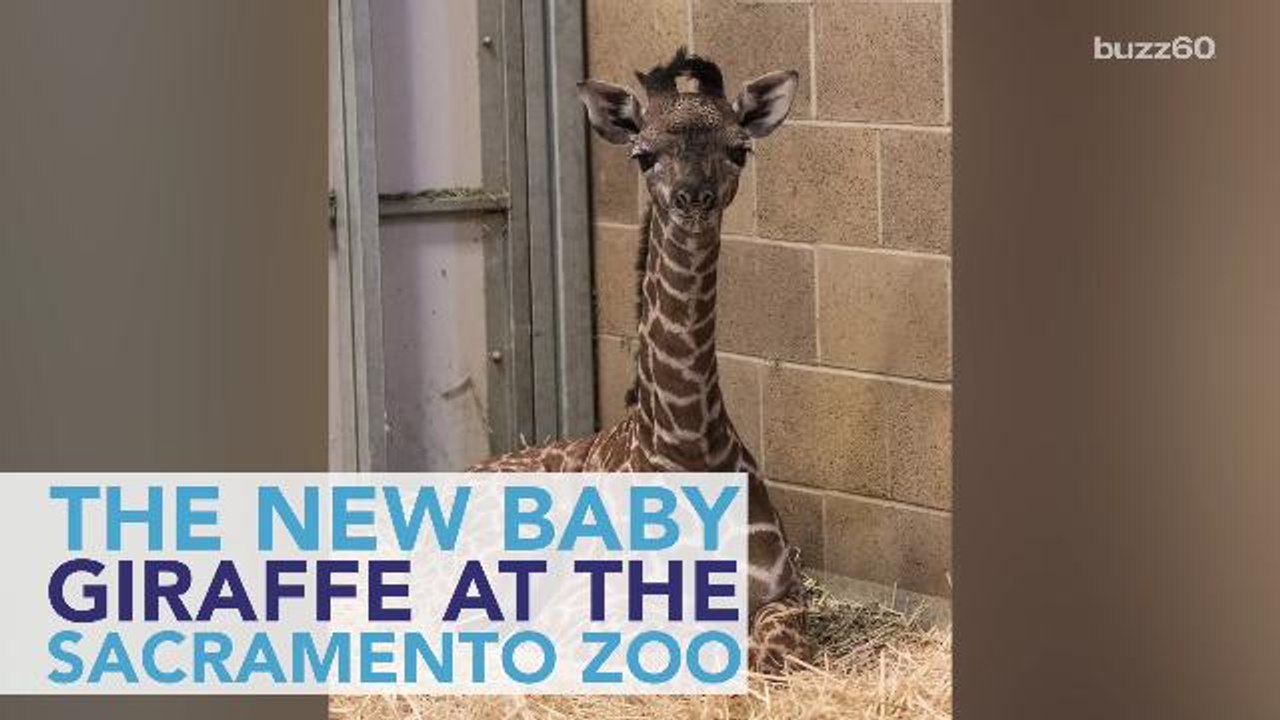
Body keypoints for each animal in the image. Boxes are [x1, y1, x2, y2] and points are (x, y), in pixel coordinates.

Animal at [470, 48, 810, 674]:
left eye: (739, 148)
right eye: (643, 154)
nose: (694, 199)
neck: (690, 446)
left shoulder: (784, 593)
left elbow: (768, 650)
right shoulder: (584, 607)